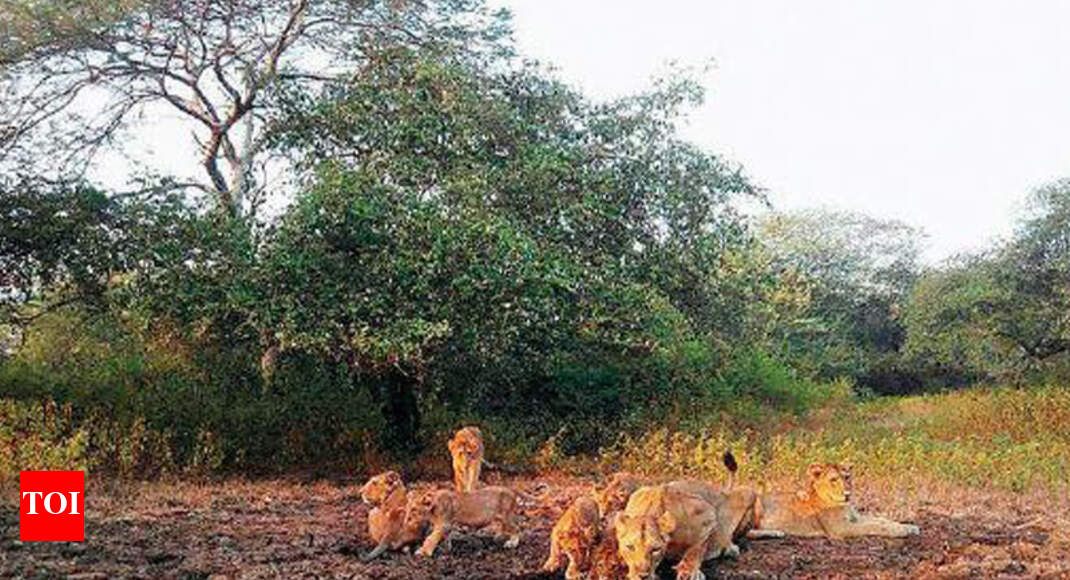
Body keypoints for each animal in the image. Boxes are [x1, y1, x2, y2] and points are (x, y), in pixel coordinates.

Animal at [747, 463, 920, 540]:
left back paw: (776, 532)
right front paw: (900, 531)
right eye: (833, 480)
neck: (844, 505)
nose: (847, 494)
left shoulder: (856, 518)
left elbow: (881, 520)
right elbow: (874, 526)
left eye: (847, 477)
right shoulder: (841, 527)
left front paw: (909, 527)